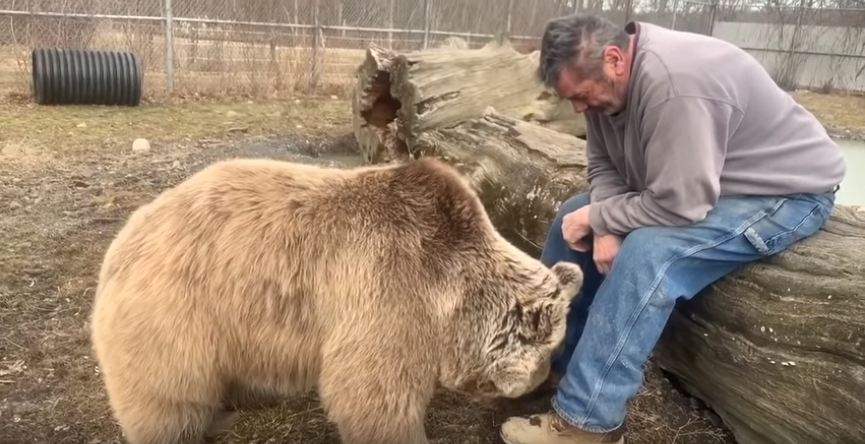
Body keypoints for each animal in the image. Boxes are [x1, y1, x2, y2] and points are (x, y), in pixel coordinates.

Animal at [89, 155, 584, 444]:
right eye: (552, 353)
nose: (543, 384)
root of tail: (127, 234)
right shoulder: (390, 293)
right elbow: (374, 396)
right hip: (179, 313)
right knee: (168, 399)